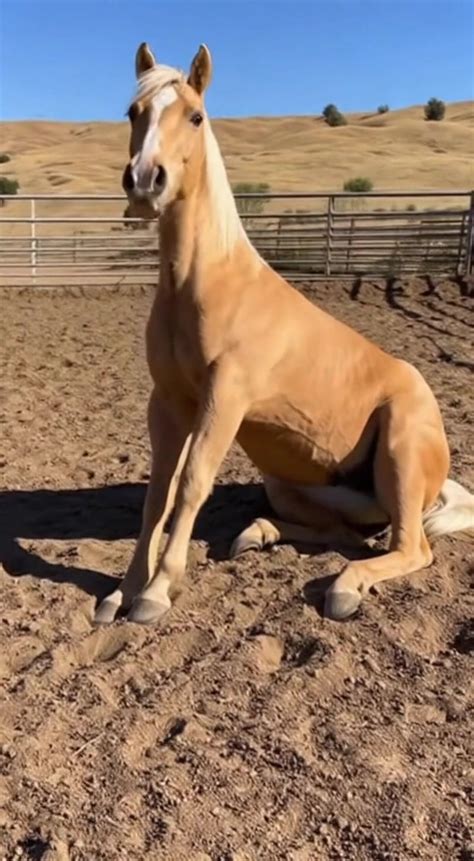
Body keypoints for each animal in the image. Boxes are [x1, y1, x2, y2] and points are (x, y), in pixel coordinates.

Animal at [95, 42, 474, 625]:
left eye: (195, 116)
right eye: (133, 113)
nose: (143, 182)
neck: (209, 284)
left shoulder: (224, 399)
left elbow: (191, 485)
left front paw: (156, 592)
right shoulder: (169, 401)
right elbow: (158, 493)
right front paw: (121, 592)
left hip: (401, 456)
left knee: (408, 548)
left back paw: (344, 587)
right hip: (290, 482)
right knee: (346, 534)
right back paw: (257, 534)